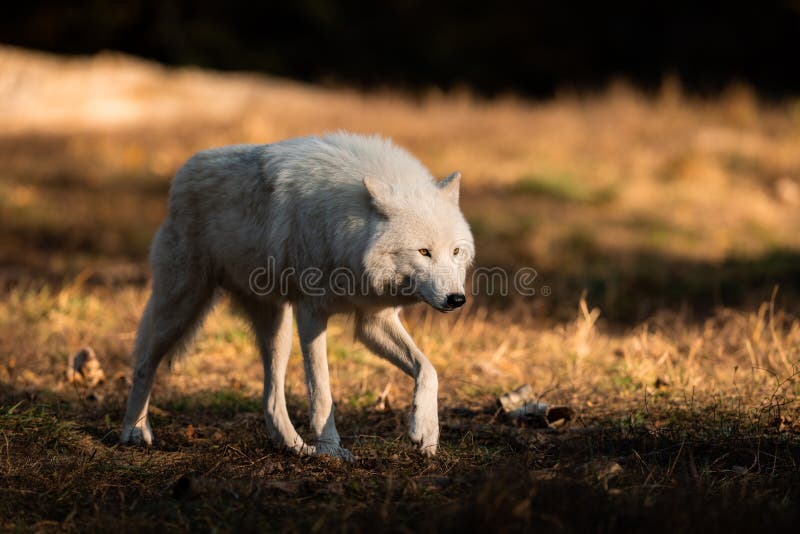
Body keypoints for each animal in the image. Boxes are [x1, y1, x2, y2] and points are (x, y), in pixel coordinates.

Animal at [120, 132, 474, 460]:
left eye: (455, 251)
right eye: (424, 252)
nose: (457, 300)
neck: (348, 235)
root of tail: (183, 172)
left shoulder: (372, 320)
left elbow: (428, 370)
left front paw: (426, 432)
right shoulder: (311, 314)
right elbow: (321, 391)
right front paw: (331, 450)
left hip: (277, 328)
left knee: (271, 397)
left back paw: (294, 446)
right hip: (182, 307)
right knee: (143, 363)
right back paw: (134, 431)